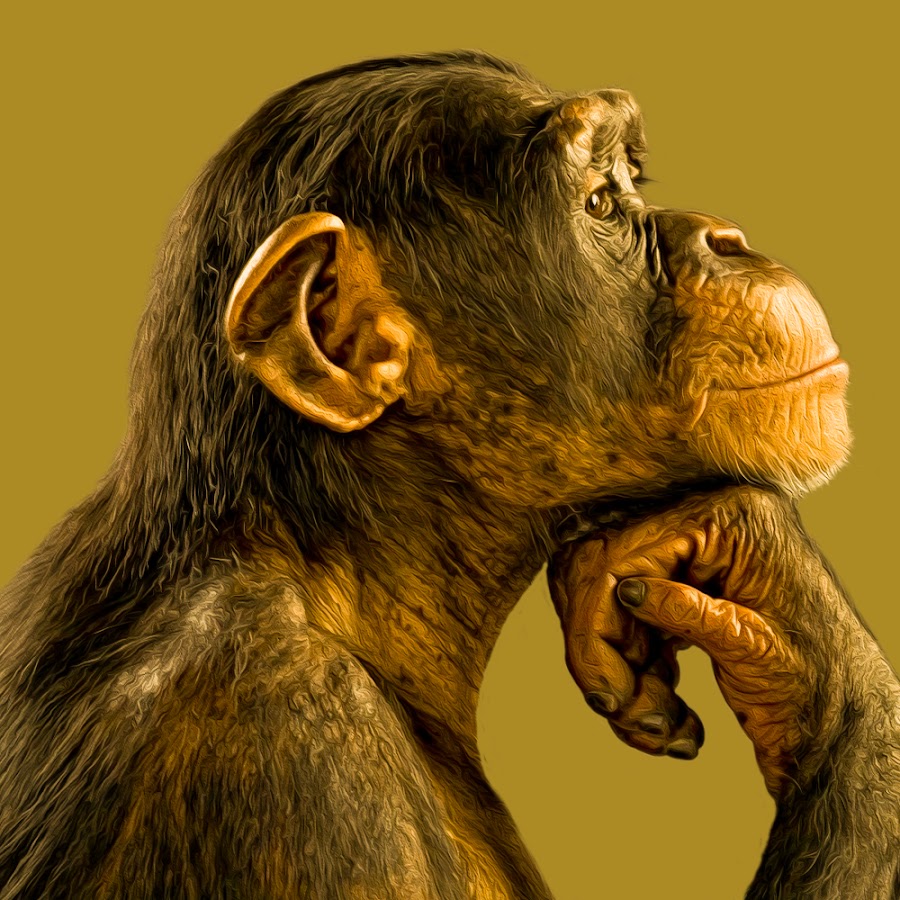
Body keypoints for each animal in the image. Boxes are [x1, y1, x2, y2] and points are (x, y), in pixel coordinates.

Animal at [0, 50, 897, 899]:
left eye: (630, 181)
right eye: (600, 205)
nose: (726, 236)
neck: (330, 561)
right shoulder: (285, 745)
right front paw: (803, 620)